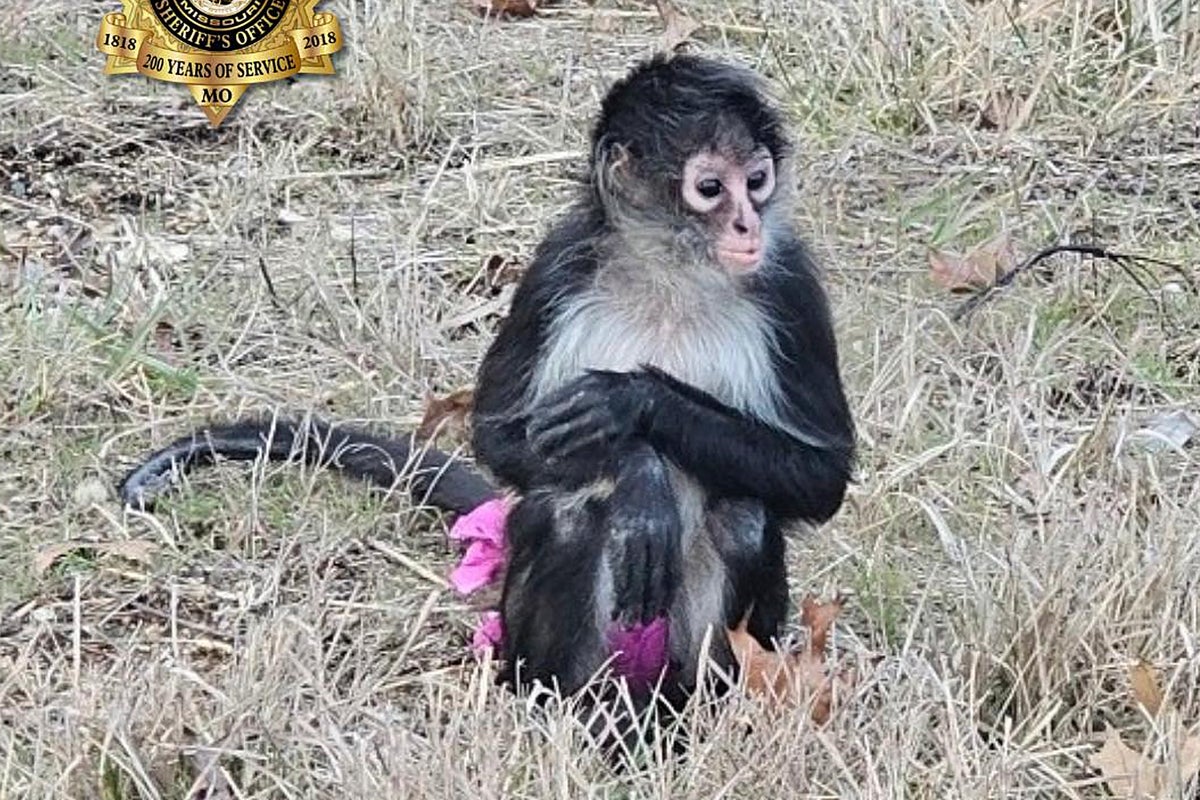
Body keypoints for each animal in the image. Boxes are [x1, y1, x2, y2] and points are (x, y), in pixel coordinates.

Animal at [118, 54, 854, 707]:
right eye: (710, 188)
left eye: (756, 180)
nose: (748, 224)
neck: (671, 275)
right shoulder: (557, 267)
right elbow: (501, 437)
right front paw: (639, 470)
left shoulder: (788, 283)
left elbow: (822, 477)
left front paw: (636, 401)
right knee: (561, 511)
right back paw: (559, 702)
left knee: (743, 518)